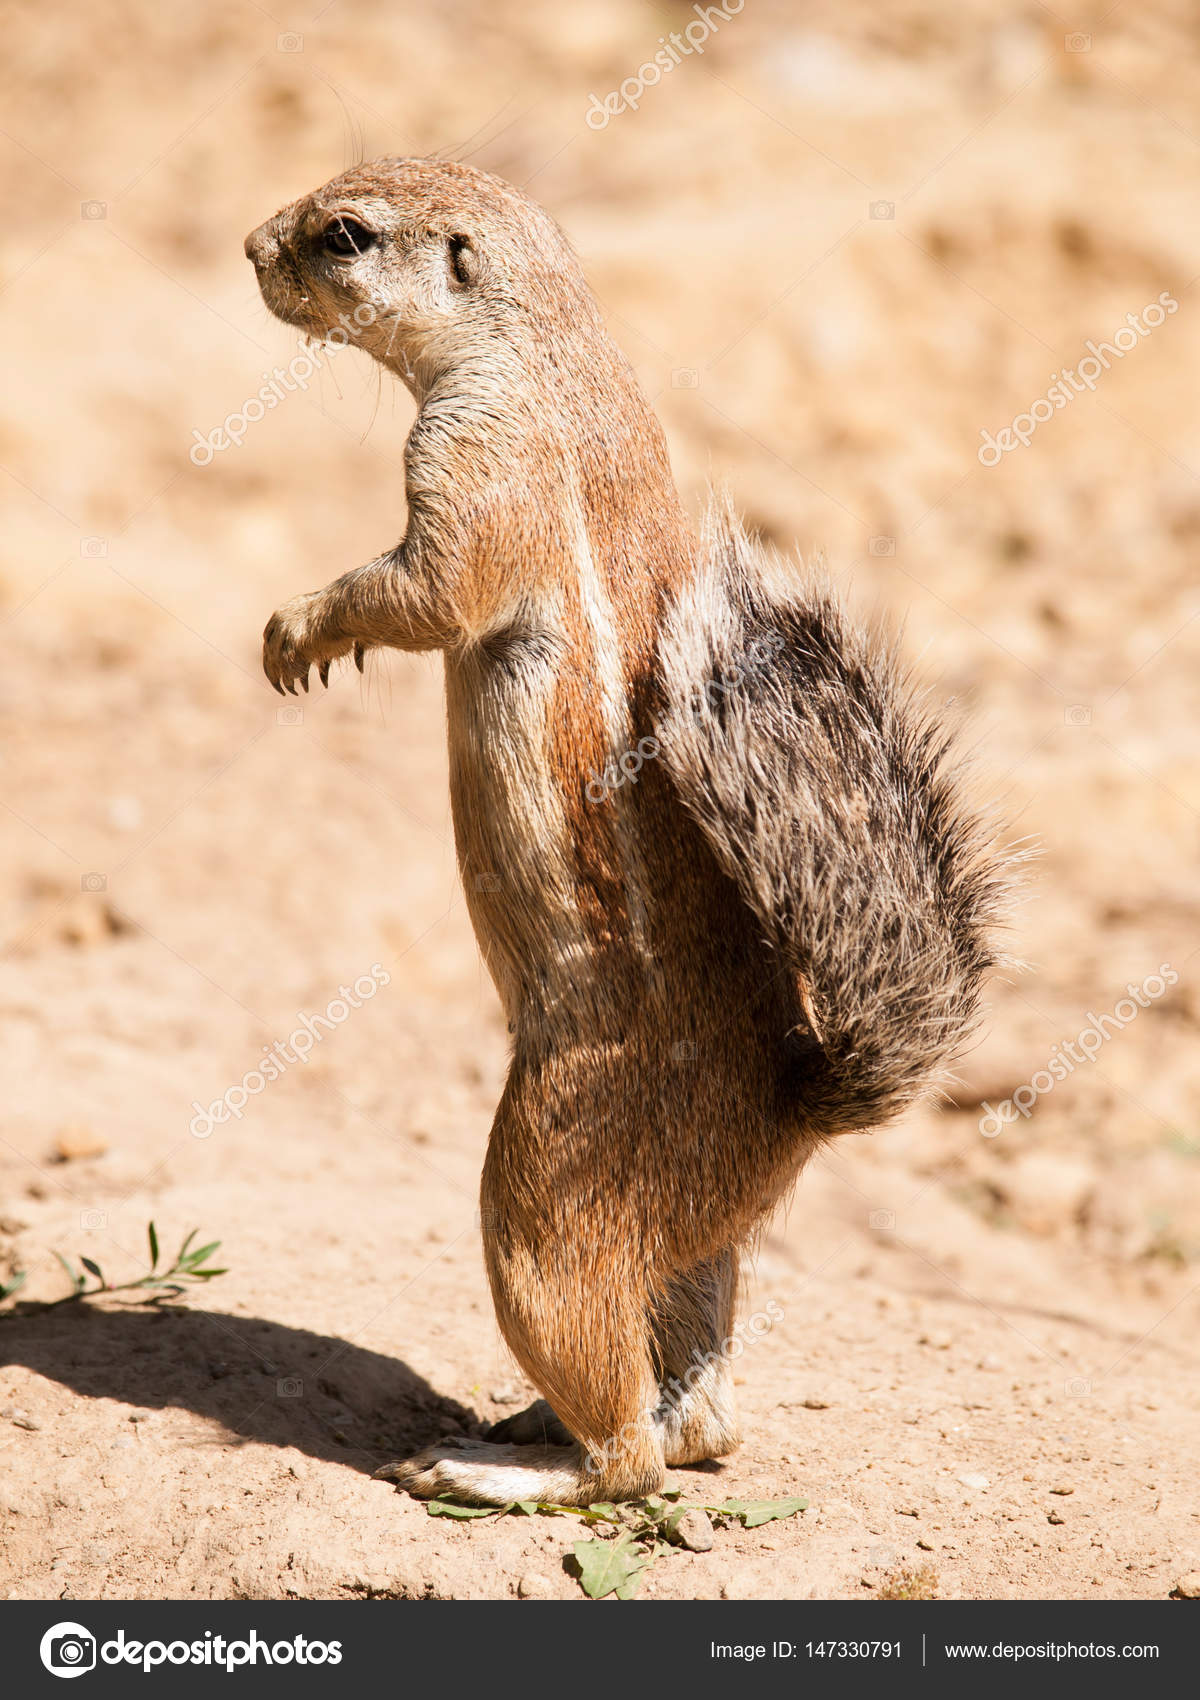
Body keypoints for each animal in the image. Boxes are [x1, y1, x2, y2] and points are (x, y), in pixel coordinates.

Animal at [245, 158, 1010, 1507]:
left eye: (342, 235)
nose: (245, 246)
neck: (551, 345)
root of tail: (797, 1106)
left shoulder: (472, 464)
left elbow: (426, 589)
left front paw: (301, 626)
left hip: (544, 1198)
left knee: (631, 1457)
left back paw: (501, 1464)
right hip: (702, 1244)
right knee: (701, 1416)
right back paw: (554, 1424)